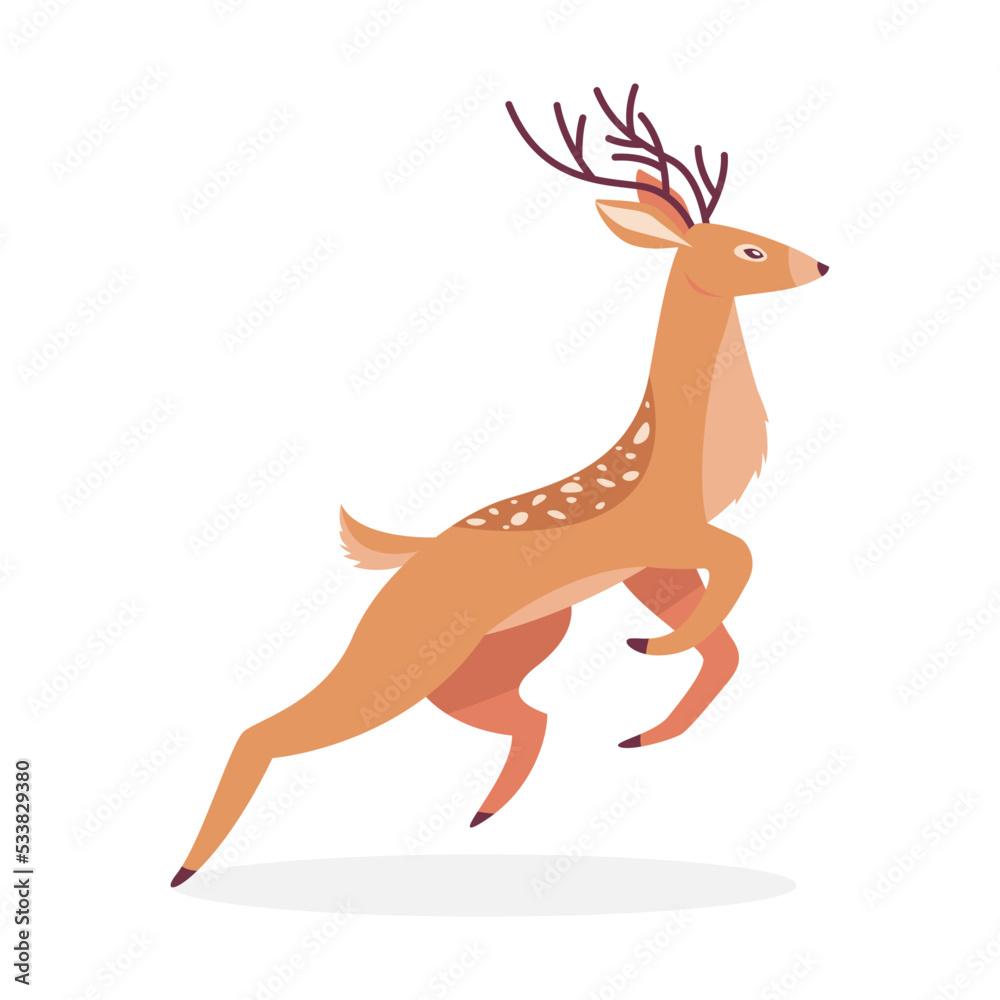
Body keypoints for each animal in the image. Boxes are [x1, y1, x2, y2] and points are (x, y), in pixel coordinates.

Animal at [171, 85, 828, 887]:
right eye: (749, 249)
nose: (821, 264)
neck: (677, 465)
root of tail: (402, 561)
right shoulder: (663, 538)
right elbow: (741, 563)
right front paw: (657, 646)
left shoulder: (650, 565)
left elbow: (726, 643)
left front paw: (650, 692)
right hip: (401, 650)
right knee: (268, 727)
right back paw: (186, 869)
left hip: (502, 649)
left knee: (527, 716)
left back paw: (495, 811)